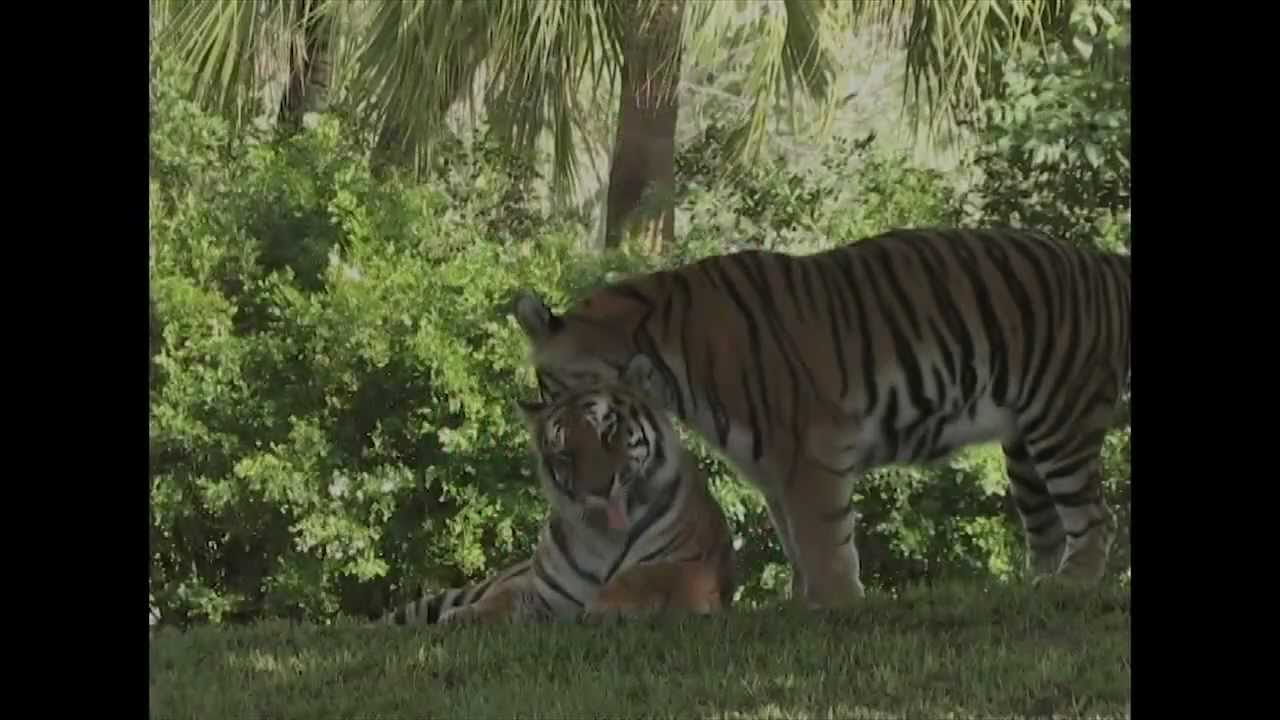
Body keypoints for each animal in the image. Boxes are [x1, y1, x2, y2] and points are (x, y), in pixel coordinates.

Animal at [382, 373, 737, 626]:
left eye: (608, 433)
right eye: (565, 454)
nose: (599, 490)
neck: (606, 536)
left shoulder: (693, 565)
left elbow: (644, 576)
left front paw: (606, 607)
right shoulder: (542, 588)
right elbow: (504, 598)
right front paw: (465, 617)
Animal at [511, 226, 1131, 609]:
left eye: (549, 385)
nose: (541, 429)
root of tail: (1100, 260)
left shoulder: (811, 450)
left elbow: (823, 538)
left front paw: (837, 606)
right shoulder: (770, 467)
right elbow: (796, 541)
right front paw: (801, 604)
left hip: (1061, 425)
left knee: (1094, 517)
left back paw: (1072, 588)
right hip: (1024, 444)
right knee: (1047, 527)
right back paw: (1036, 588)